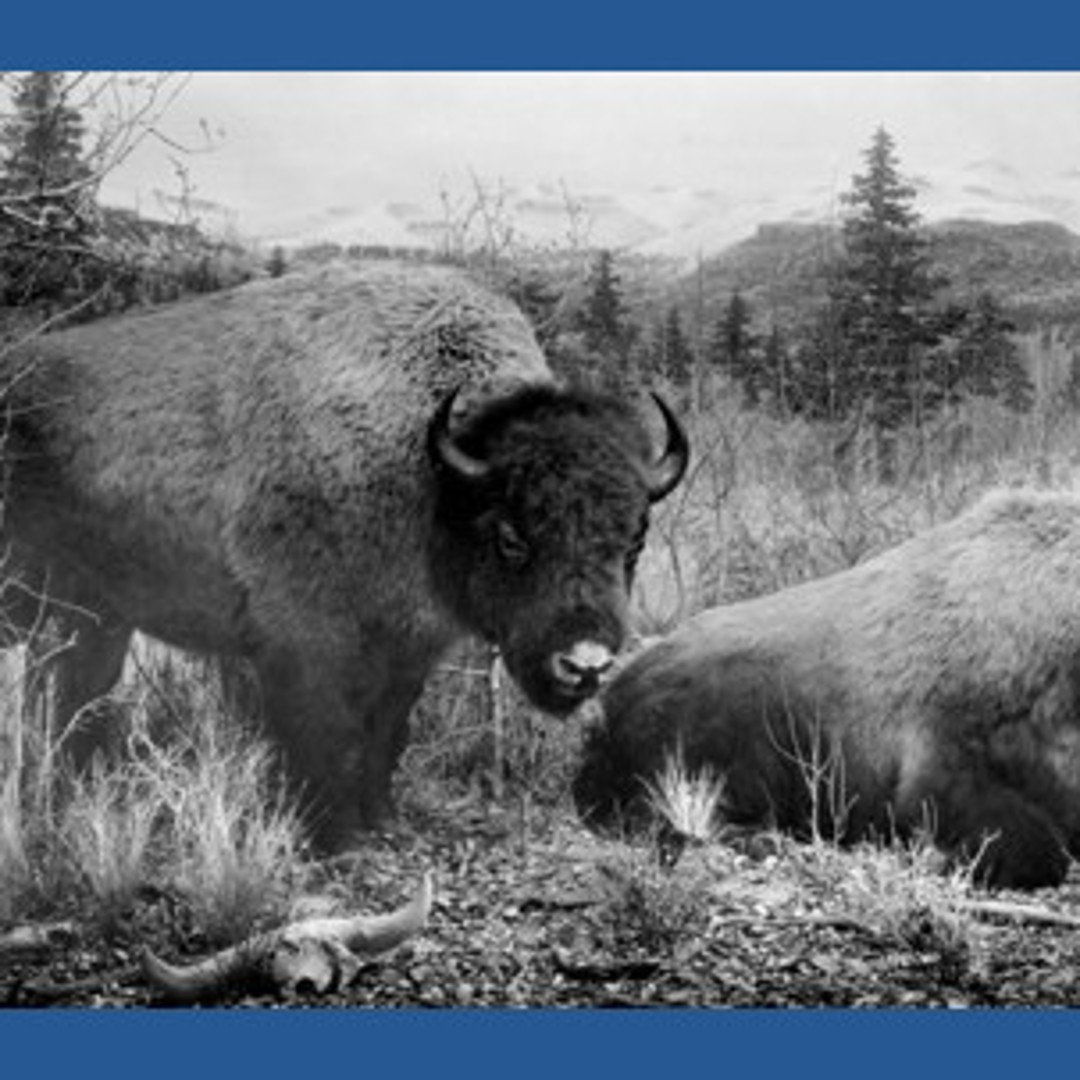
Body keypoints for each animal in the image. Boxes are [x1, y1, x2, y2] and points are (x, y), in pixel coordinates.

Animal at [1, 261, 688, 848]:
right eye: (512, 536)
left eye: (634, 540)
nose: (586, 665)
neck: (433, 469)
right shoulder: (305, 643)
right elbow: (326, 738)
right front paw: (338, 840)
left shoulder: (408, 651)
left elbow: (384, 735)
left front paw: (383, 821)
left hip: (99, 618)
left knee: (74, 696)